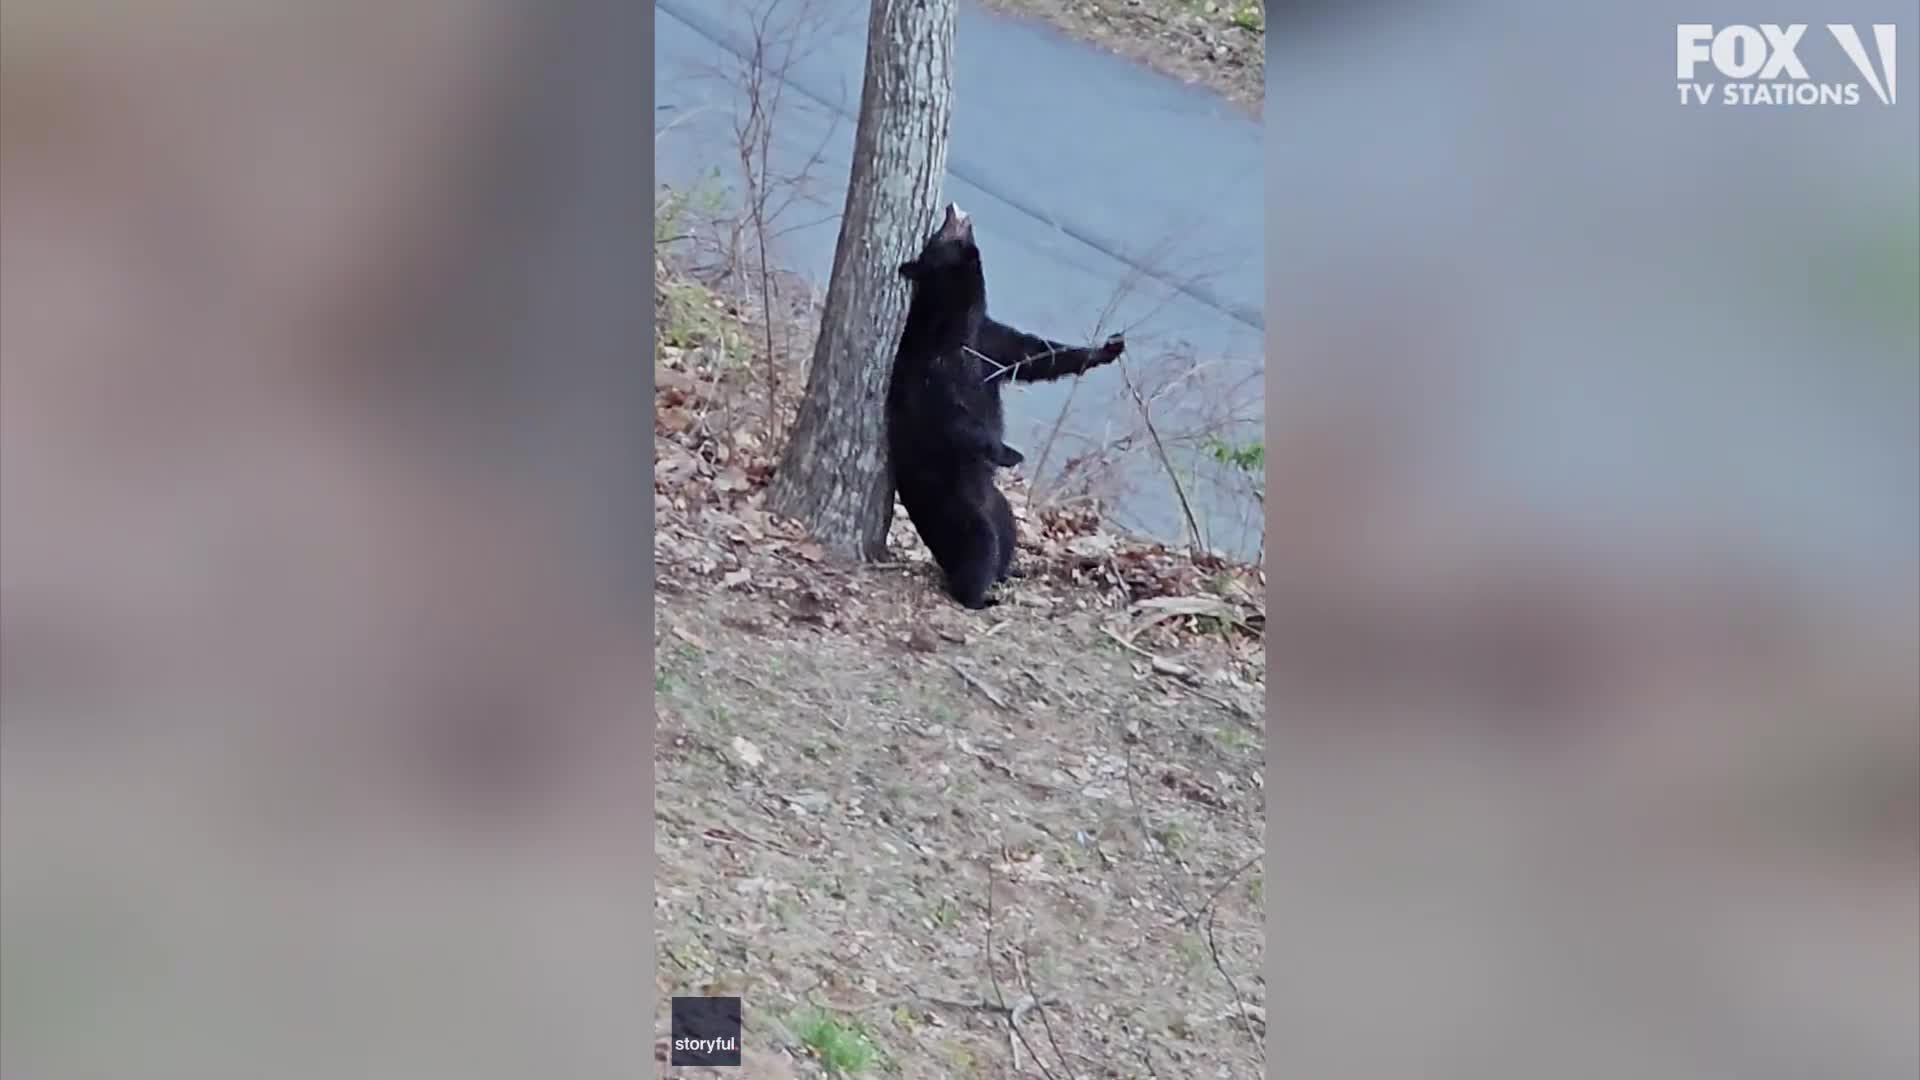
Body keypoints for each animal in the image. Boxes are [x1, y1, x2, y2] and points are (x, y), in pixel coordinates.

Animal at [886, 203, 1126, 609]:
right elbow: (955, 421)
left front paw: (1107, 348)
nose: (950, 206)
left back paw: (1006, 572)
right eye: (937, 237)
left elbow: (1036, 355)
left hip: (1000, 510)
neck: (957, 321)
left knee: (1006, 537)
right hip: (958, 510)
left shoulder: (989, 343)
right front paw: (1010, 453)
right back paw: (978, 594)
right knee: (978, 550)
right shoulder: (932, 367)